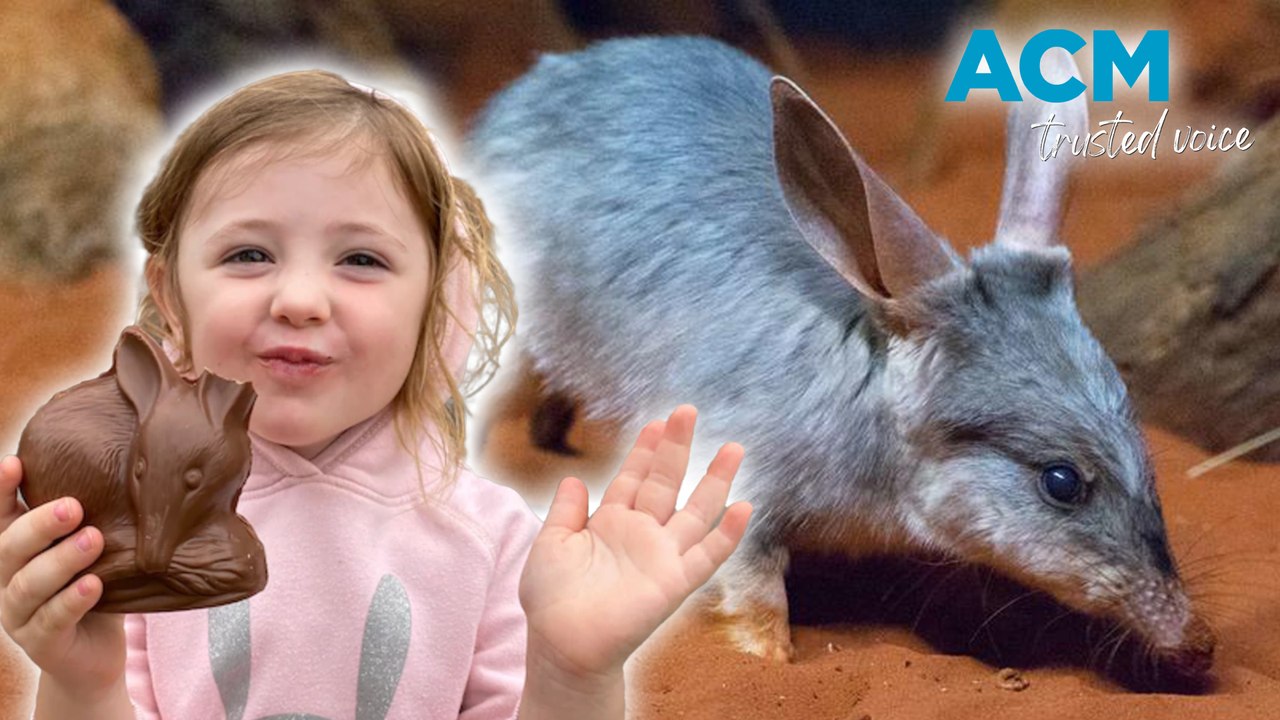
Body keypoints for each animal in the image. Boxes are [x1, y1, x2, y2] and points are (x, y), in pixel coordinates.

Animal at [466, 36, 1215, 676]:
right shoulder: (738, 479)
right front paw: (770, 661)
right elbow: (757, 593)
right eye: (1061, 482)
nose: (1198, 644)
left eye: (1143, 443)